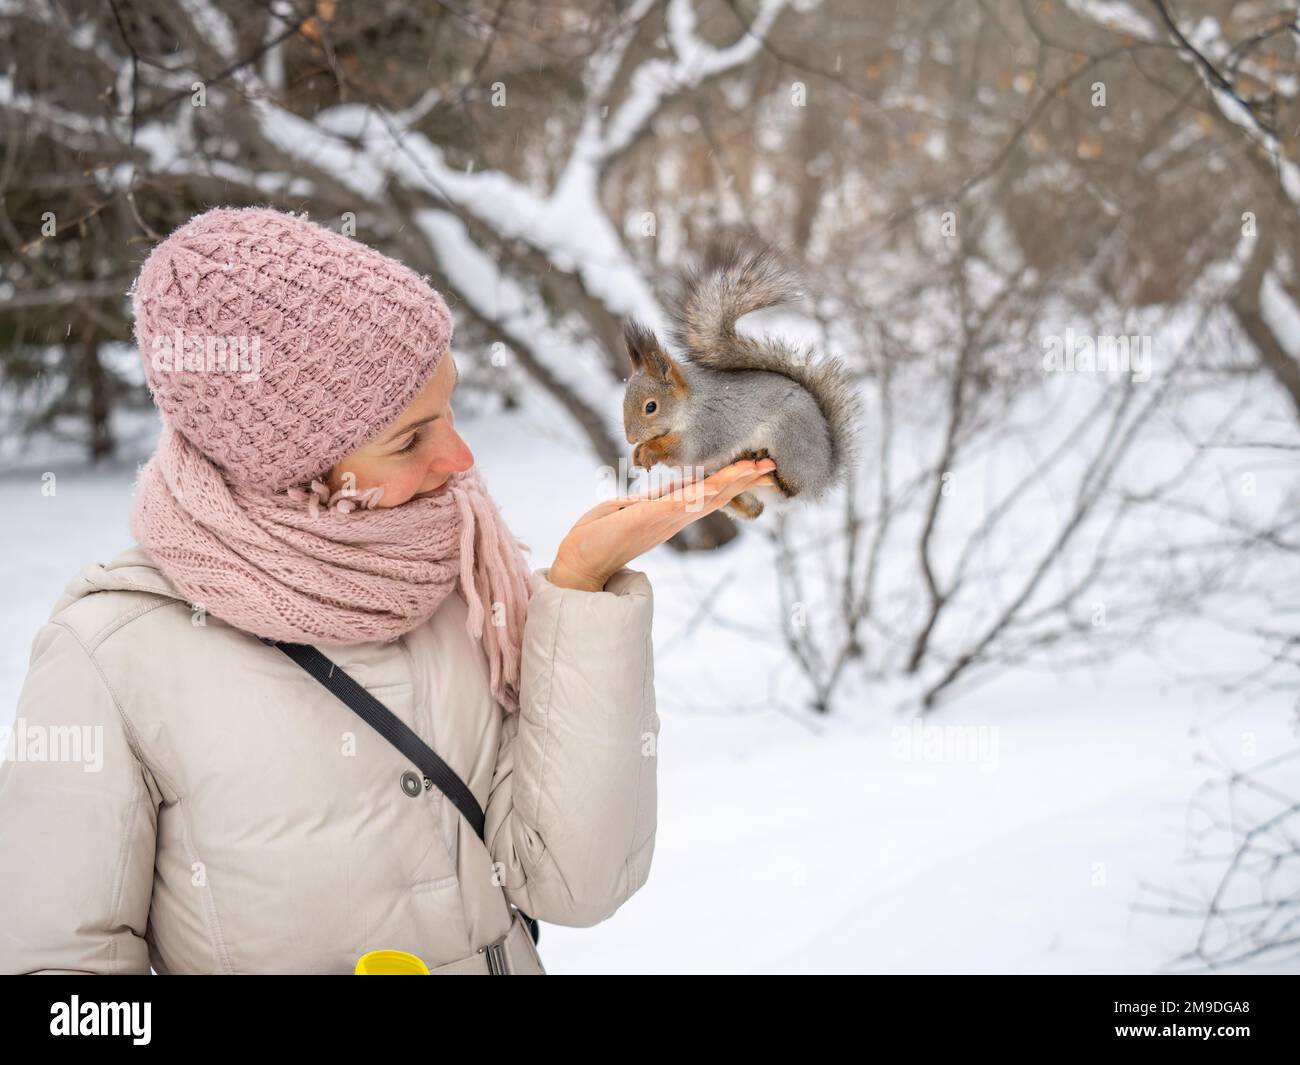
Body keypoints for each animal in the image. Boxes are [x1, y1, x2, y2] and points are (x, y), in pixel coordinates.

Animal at [621, 235, 862, 520]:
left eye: (651, 407)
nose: (631, 438)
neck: (689, 403)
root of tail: (823, 476)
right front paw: (637, 453)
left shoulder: (712, 423)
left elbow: (689, 449)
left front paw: (650, 449)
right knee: (753, 511)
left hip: (790, 443)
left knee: (789, 488)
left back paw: (766, 466)